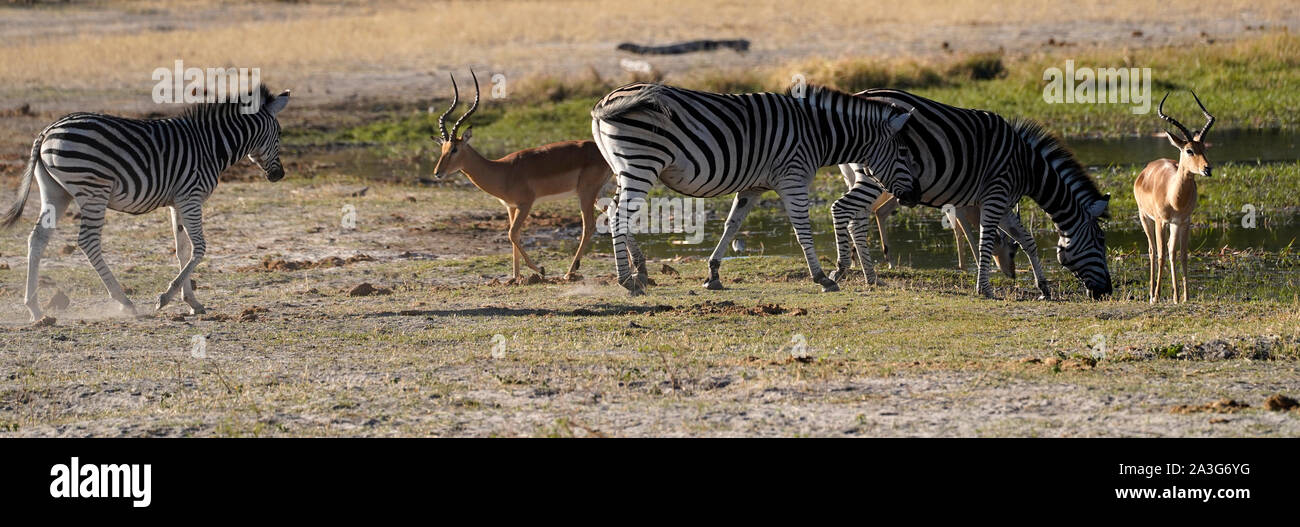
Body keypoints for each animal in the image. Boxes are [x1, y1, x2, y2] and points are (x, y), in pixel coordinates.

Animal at [1, 85, 291, 322]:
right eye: (279, 133)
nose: (280, 175)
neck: (211, 145)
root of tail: (46, 131)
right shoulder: (191, 196)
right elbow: (199, 248)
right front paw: (166, 297)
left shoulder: (178, 202)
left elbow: (182, 249)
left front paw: (192, 302)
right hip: (93, 190)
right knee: (88, 241)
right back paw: (124, 301)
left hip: (56, 192)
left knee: (38, 238)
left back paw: (35, 309)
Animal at [590, 82, 916, 296]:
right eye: (903, 152)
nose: (912, 195)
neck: (817, 133)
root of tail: (603, 102)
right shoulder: (793, 177)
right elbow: (802, 230)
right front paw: (823, 278)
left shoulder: (753, 187)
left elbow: (732, 225)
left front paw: (713, 274)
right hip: (643, 162)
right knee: (619, 217)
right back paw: (627, 280)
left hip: (624, 167)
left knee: (611, 210)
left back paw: (641, 271)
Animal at [832, 88, 1112, 299]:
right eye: (1100, 241)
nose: (1107, 292)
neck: (1028, 166)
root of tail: (859, 95)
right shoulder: (995, 194)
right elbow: (985, 239)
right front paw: (984, 288)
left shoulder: (1001, 202)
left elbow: (1027, 239)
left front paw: (1043, 287)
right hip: (878, 175)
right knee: (842, 209)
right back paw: (842, 270)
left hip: (855, 176)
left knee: (856, 222)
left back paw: (871, 278)